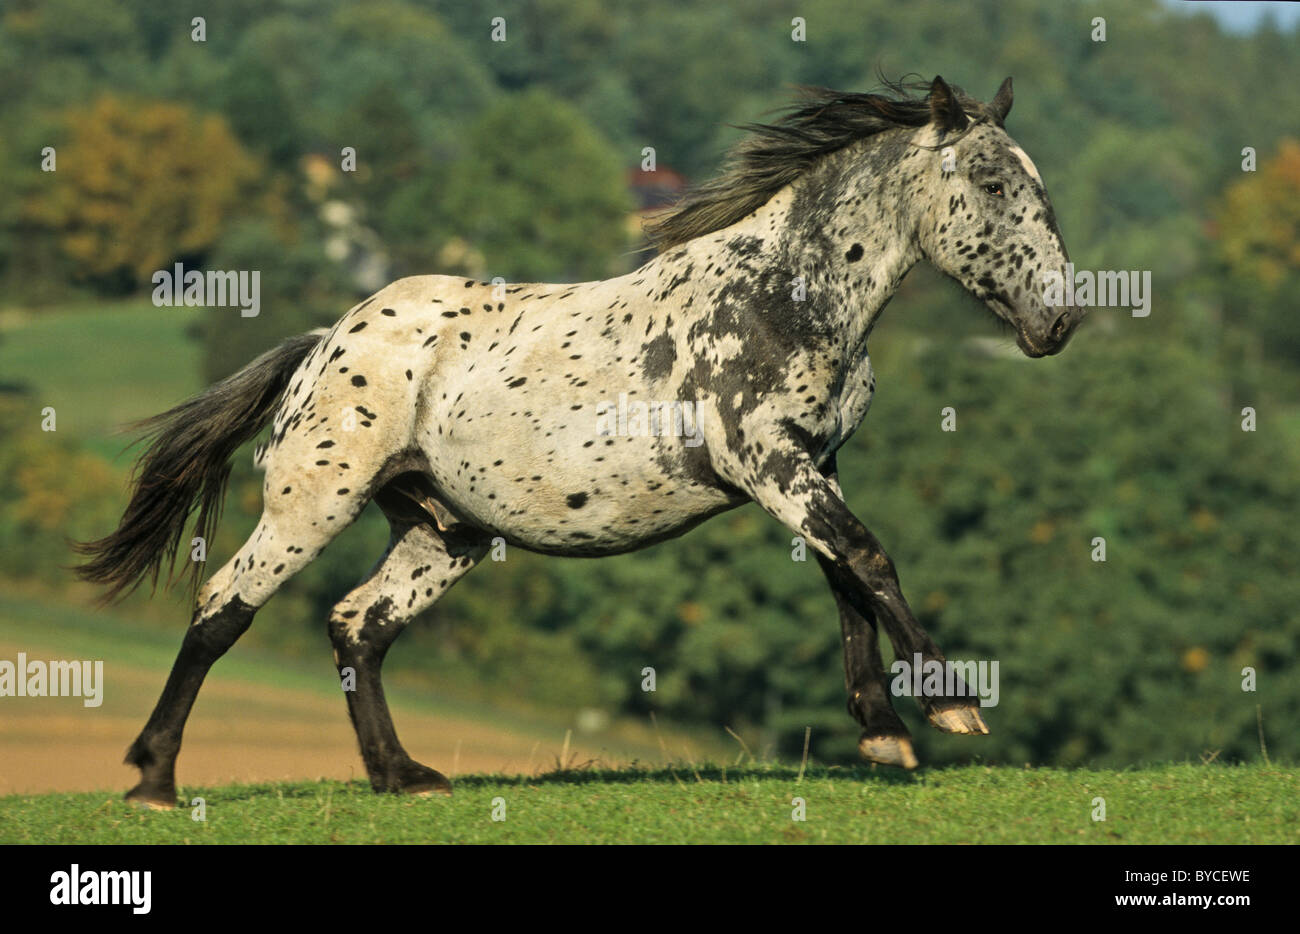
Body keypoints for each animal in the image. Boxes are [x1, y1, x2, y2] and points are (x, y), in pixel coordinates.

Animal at [77, 75, 1082, 807]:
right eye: (994, 185)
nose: (1059, 322)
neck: (781, 292)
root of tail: (324, 344)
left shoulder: (813, 463)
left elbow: (845, 578)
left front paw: (880, 730)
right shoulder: (771, 465)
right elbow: (870, 560)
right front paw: (951, 706)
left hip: (444, 531)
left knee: (357, 627)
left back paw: (403, 779)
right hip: (314, 503)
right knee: (223, 608)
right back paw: (154, 780)